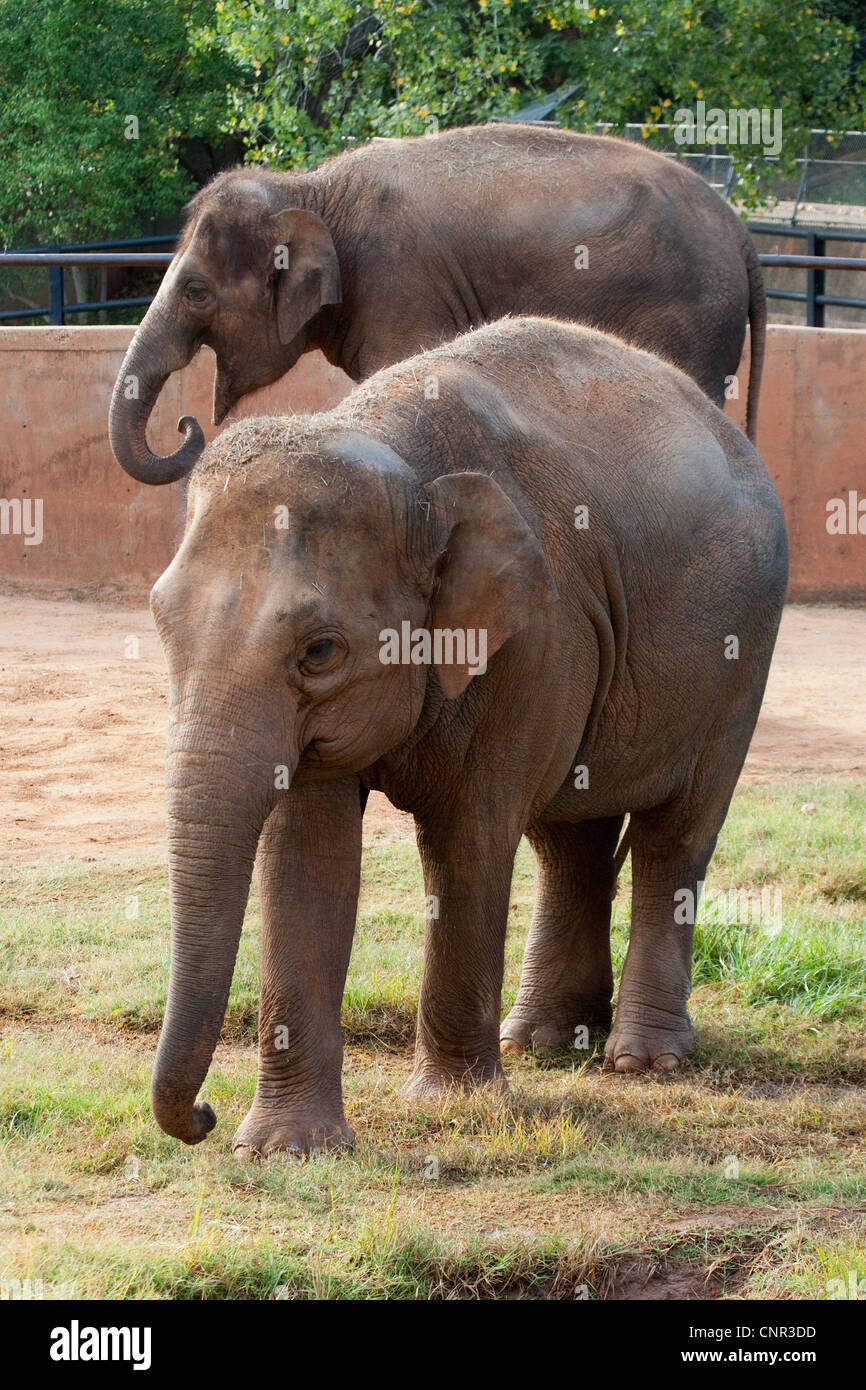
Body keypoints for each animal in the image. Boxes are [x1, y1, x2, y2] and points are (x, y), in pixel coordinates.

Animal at [109, 122, 766, 486]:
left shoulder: (402, 284)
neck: (312, 187)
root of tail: (741, 232)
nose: (187, 425)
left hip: (693, 316)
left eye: (196, 292)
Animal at [144, 315, 787, 1156]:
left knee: (676, 834)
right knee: (569, 840)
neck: (397, 457)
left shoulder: (539, 636)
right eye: (160, 622)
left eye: (320, 651)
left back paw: (641, 1061)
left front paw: (450, 1106)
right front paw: (288, 1151)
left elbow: (471, 838)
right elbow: (308, 855)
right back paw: (542, 1042)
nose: (202, 1117)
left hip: (743, 656)